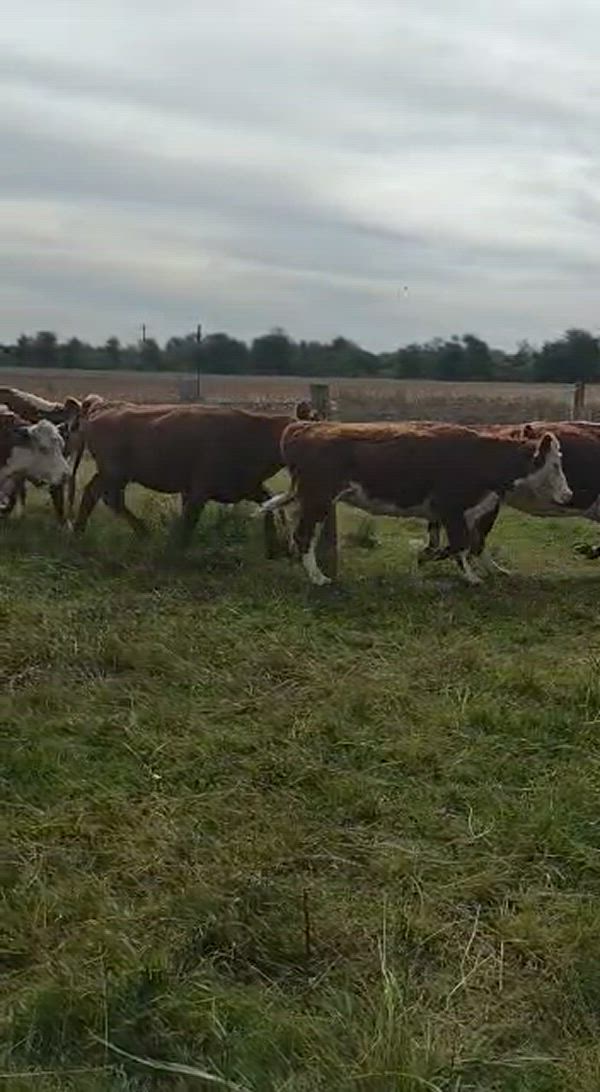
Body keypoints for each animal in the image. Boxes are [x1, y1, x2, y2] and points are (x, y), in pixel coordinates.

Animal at [71, 399, 317, 553]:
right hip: (115, 473)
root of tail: (102, 408)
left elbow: (269, 504)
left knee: (93, 494)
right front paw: (177, 550)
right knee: (110, 499)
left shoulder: (245, 486)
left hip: (110, 474)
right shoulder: (199, 490)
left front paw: (275, 546)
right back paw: (143, 532)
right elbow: (189, 519)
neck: (252, 435)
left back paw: (79, 531)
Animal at [261, 420, 572, 586]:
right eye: (555, 465)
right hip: (318, 499)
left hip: (313, 500)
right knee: (304, 537)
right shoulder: (451, 508)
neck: (482, 457)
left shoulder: (460, 512)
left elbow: (469, 543)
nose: (569, 495)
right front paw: (470, 578)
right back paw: (318, 578)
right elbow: (461, 545)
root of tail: (304, 426)